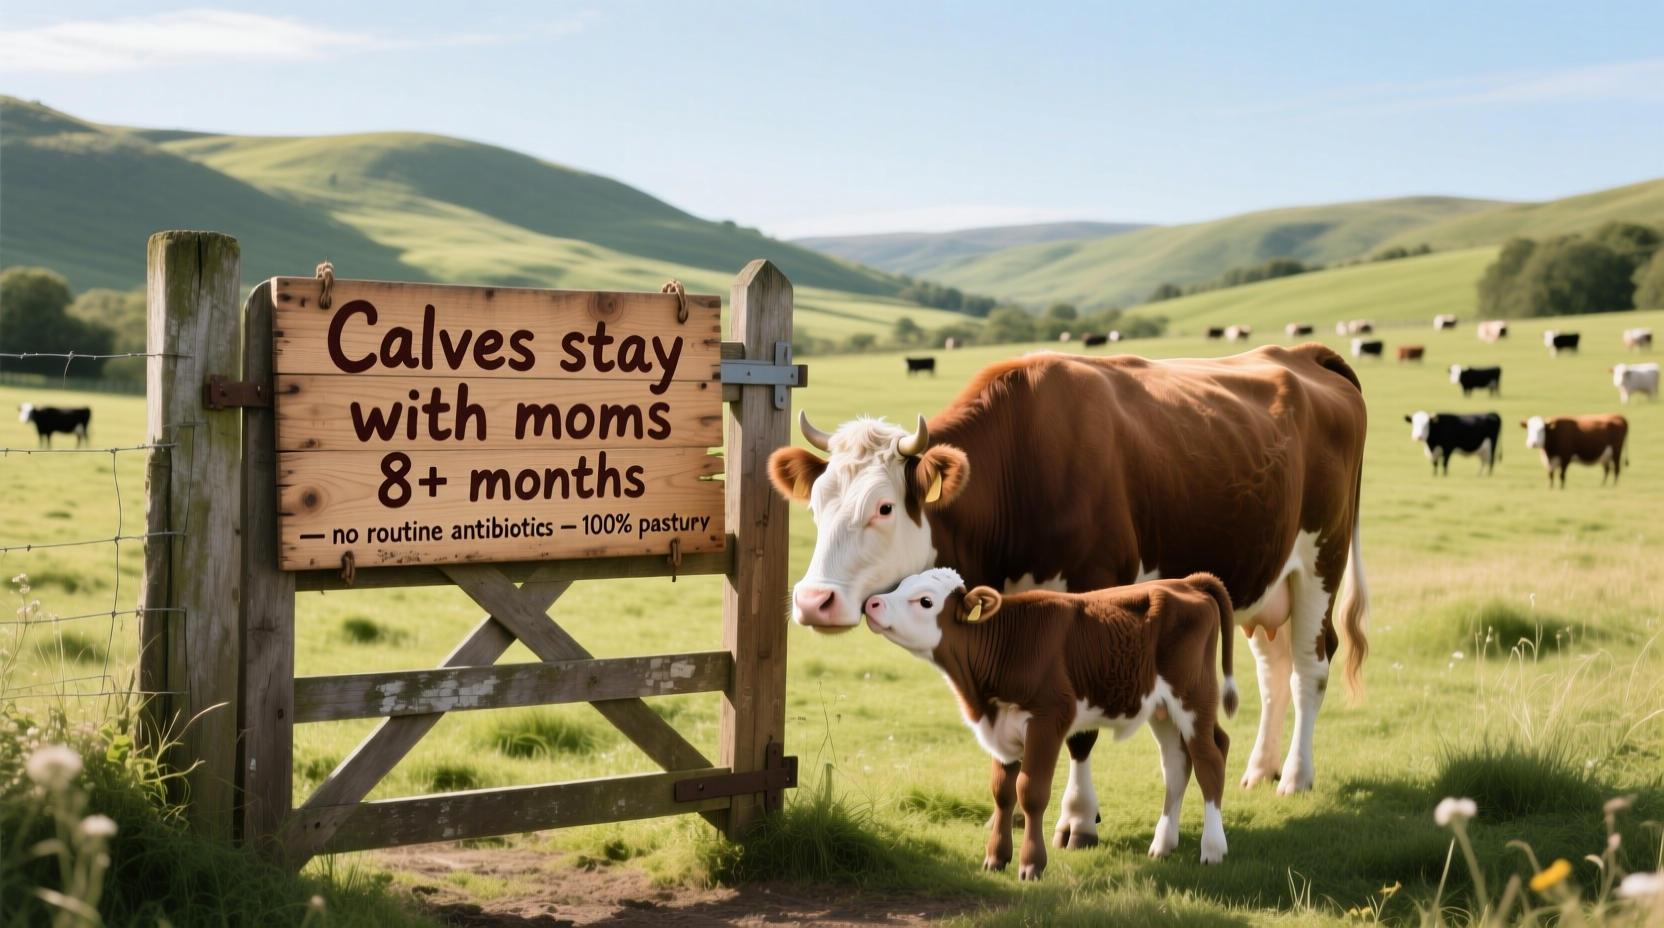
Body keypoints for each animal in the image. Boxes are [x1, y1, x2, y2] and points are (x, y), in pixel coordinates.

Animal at [862, 568, 1235, 876]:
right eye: (901, 584)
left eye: (925, 601)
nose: (872, 603)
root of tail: (1186, 582)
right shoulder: (1000, 729)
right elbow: (1002, 792)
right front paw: (996, 858)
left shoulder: (1048, 719)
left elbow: (1031, 792)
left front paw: (1031, 865)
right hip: (1161, 709)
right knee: (1177, 764)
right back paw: (1162, 845)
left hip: (1193, 696)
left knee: (1209, 759)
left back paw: (1213, 849)